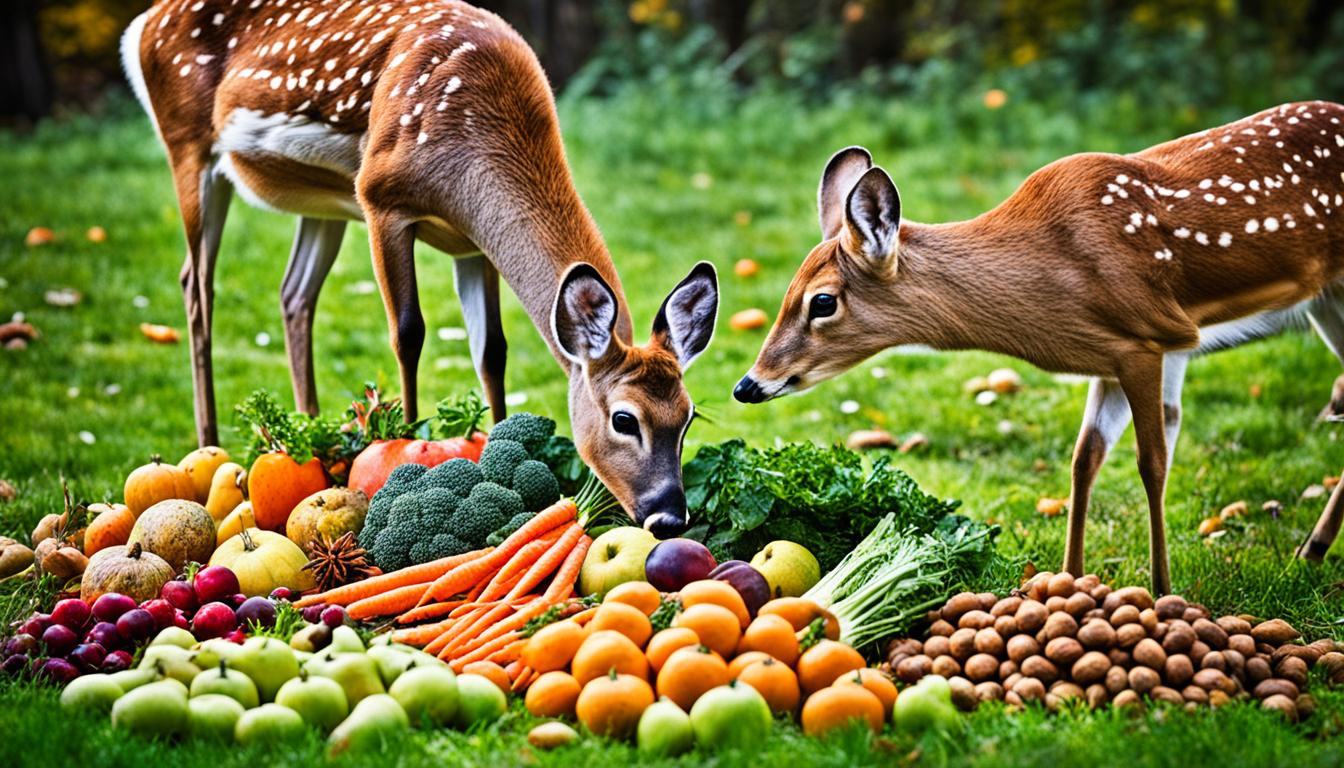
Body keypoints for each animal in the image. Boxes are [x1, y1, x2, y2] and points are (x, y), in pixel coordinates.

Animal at [121, 0, 720, 536]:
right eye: (624, 419)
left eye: (688, 416)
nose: (669, 517)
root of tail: (142, 24)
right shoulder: (380, 197)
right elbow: (408, 333)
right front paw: (405, 441)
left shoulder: (472, 247)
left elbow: (491, 351)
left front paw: (498, 443)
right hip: (189, 145)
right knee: (196, 285)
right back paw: (210, 442)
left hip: (321, 203)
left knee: (293, 293)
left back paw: (307, 434)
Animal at [734, 101, 1344, 592]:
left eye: (822, 302)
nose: (748, 384)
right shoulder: (1121, 353)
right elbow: (1084, 459)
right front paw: (1068, 580)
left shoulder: (1149, 340)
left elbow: (1152, 463)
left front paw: (1163, 591)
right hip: (1326, 302)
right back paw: (1310, 551)